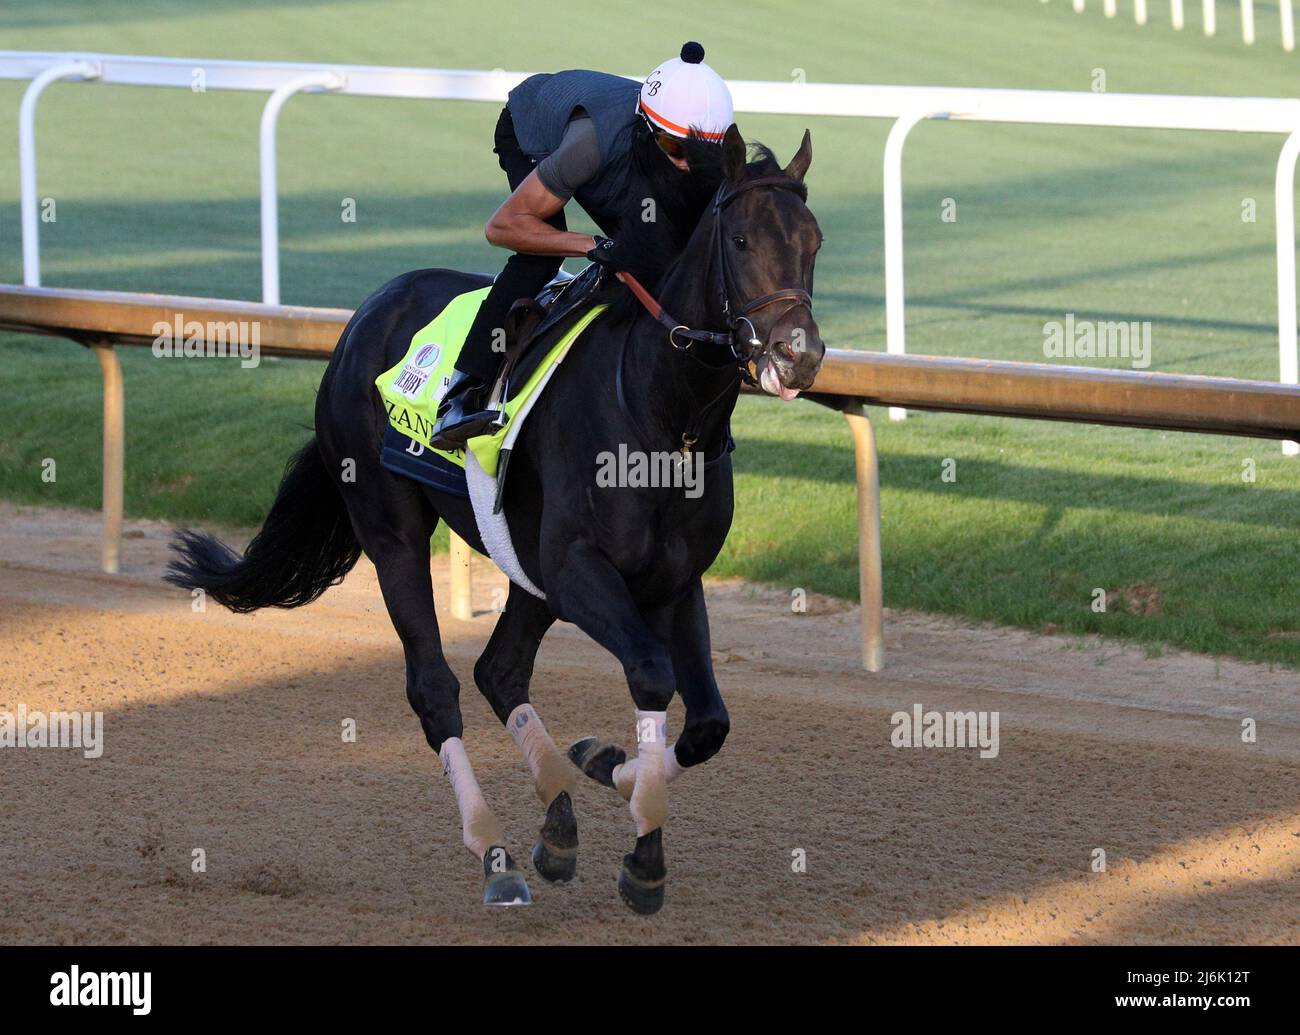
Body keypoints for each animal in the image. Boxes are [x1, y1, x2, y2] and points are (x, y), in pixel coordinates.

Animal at [166, 125, 825, 913]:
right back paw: (493, 851)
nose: (800, 355)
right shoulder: (578, 569)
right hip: (394, 532)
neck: (662, 411)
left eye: (814, 241)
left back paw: (559, 816)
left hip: (525, 563)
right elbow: (649, 672)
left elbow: (707, 725)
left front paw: (609, 769)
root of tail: (366, 315)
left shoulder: (672, 581)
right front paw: (643, 855)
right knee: (436, 687)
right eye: (743, 239)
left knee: (498, 670)